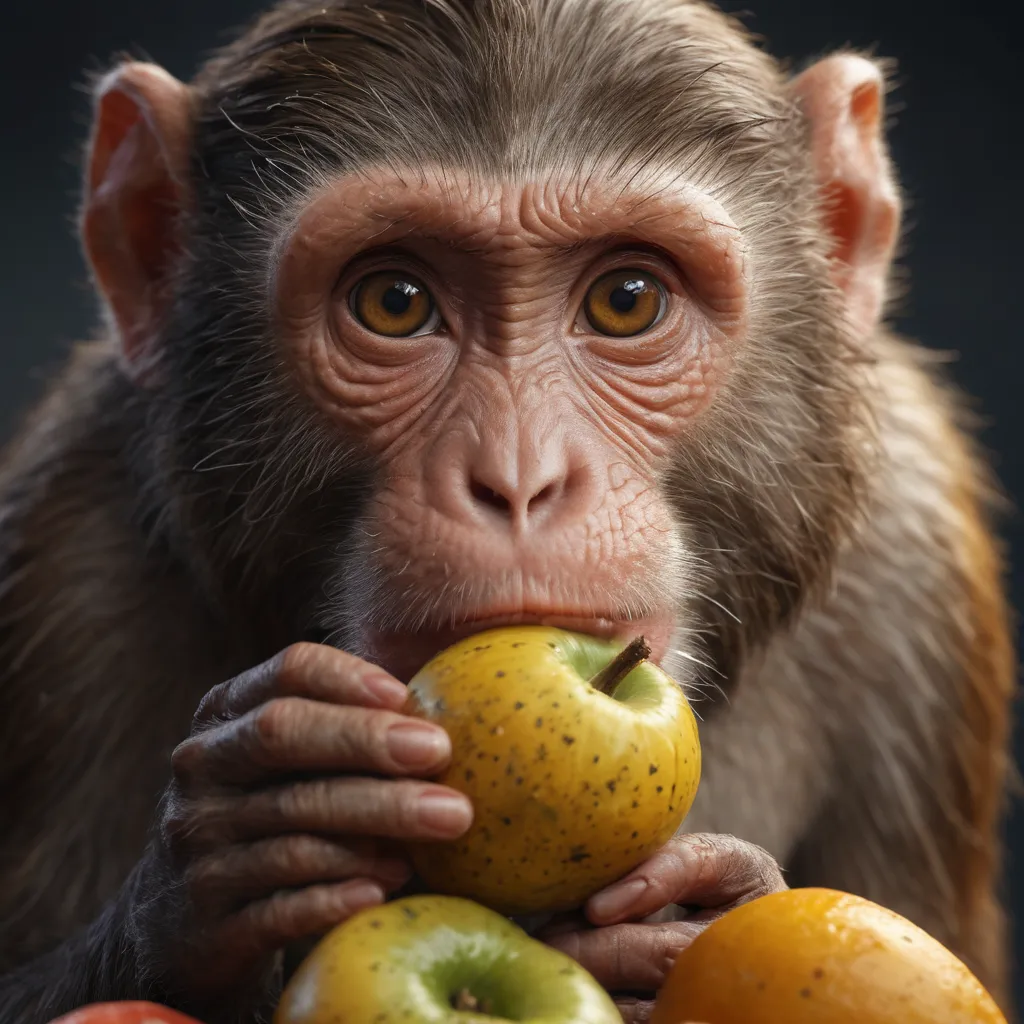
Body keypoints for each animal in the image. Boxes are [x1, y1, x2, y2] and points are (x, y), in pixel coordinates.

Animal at [0, 1, 1014, 1022]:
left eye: (627, 300)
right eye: (394, 301)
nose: (518, 478)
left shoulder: (919, 549)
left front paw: (707, 910)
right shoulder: (65, 548)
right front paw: (230, 844)